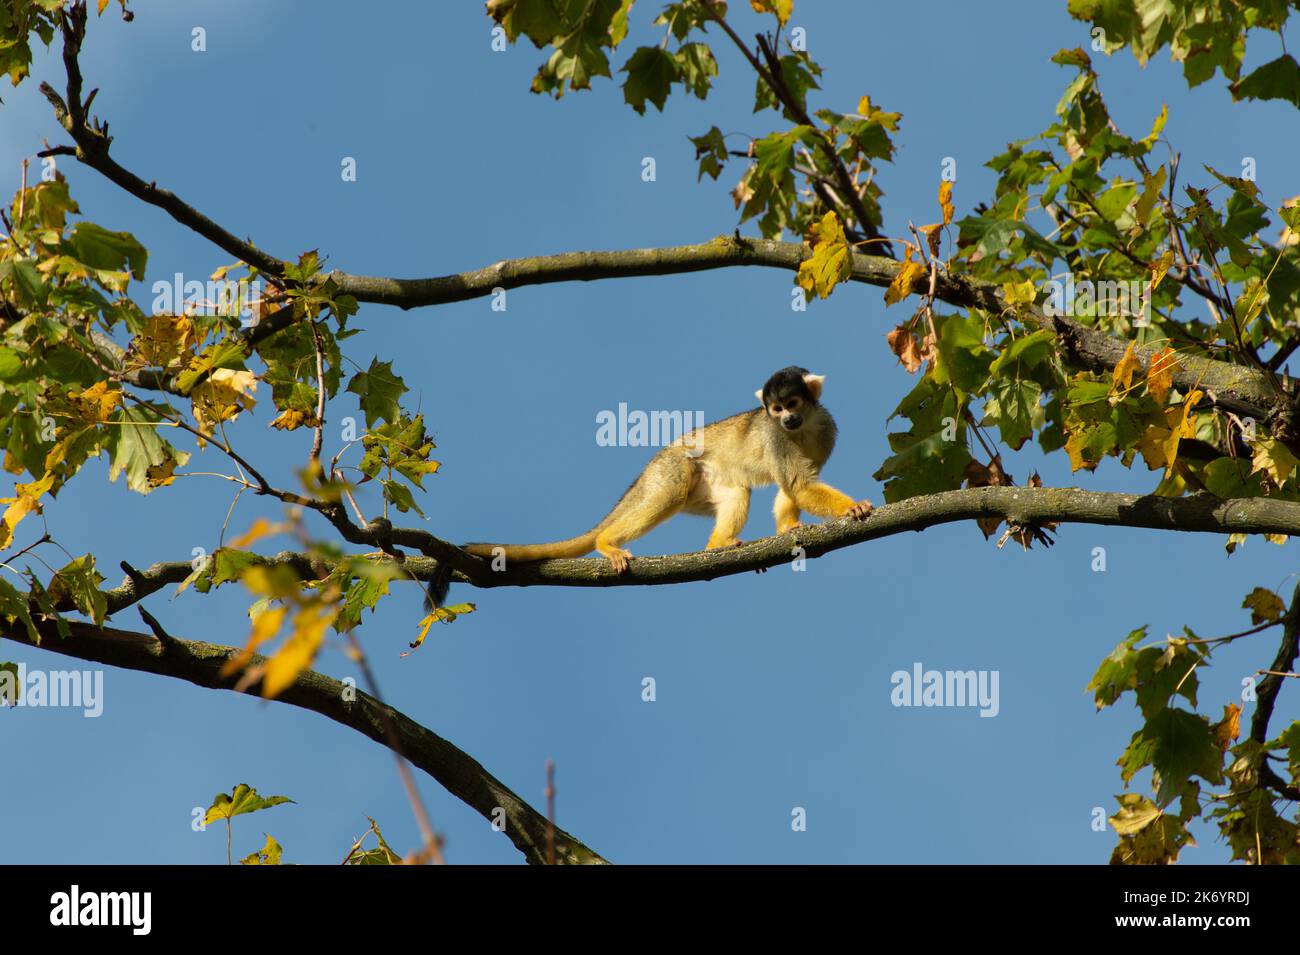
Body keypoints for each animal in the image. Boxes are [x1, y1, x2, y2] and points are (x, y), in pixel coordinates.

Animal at [463, 367, 873, 573]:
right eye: (775, 410)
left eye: (792, 404)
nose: (786, 418)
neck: (802, 428)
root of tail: (657, 458)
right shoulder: (775, 436)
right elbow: (797, 483)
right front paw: (851, 508)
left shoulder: (827, 429)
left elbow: (793, 486)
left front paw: (788, 528)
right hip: (674, 468)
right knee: (670, 492)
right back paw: (606, 543)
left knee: (736, 491)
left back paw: (717, 545)